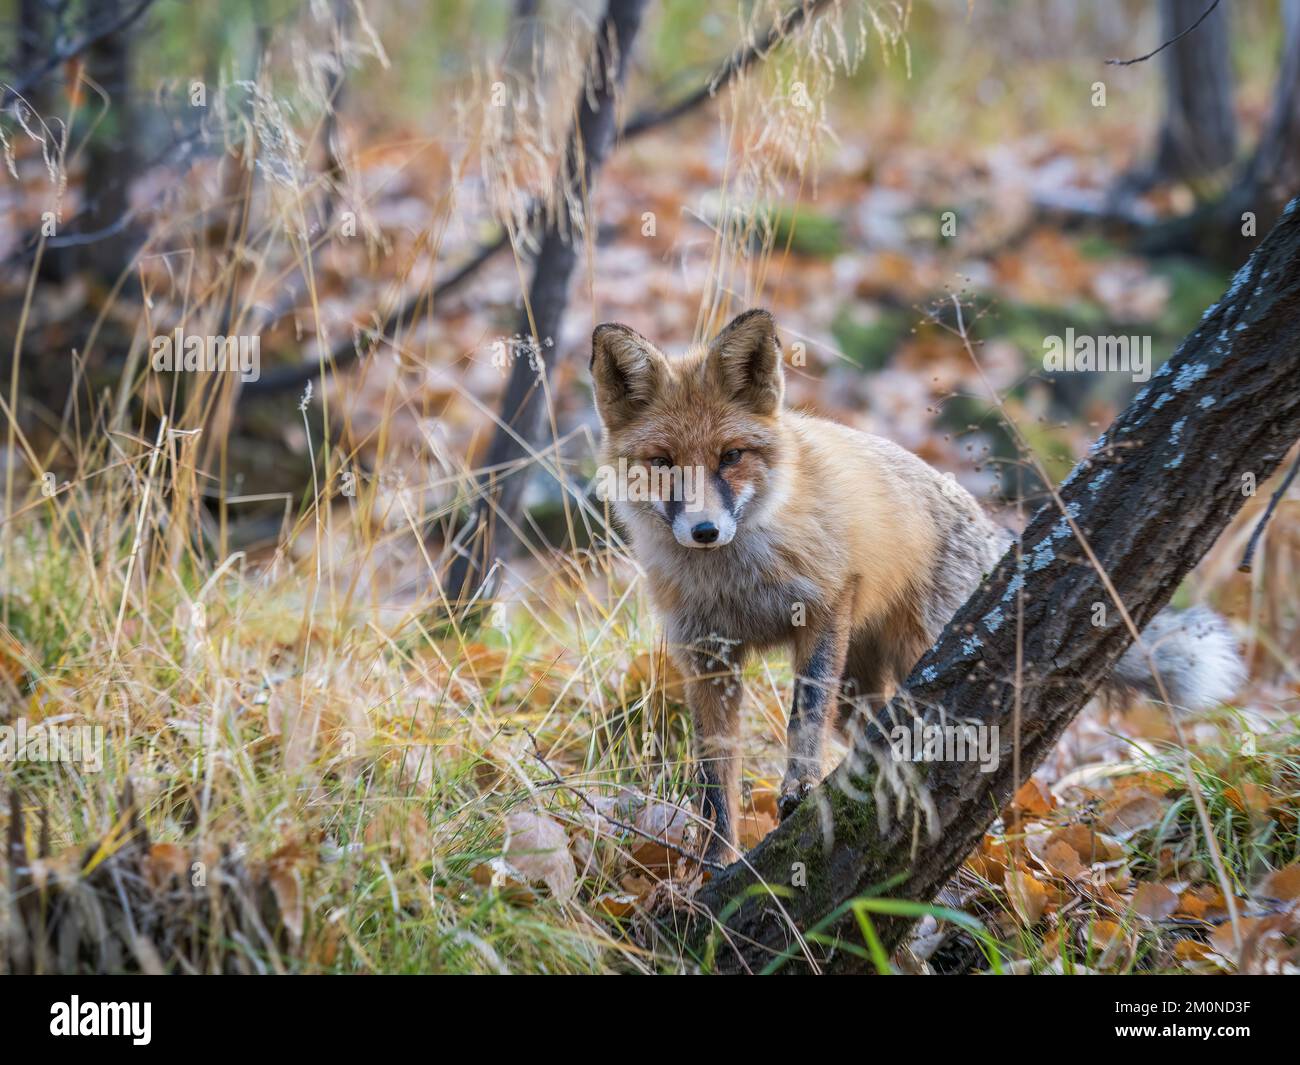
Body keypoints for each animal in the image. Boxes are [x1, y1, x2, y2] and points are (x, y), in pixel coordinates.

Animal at [590, 308, 1245, 864]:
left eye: (730, 457)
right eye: (664, 463)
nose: (705, 531)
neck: (734, 578)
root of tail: (989, 530)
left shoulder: (825, 606)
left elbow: (804, 718)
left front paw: (798, 790)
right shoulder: (707, 654)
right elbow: (714, 779)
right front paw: (714, 865)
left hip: (915, 657)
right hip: (861, 691)